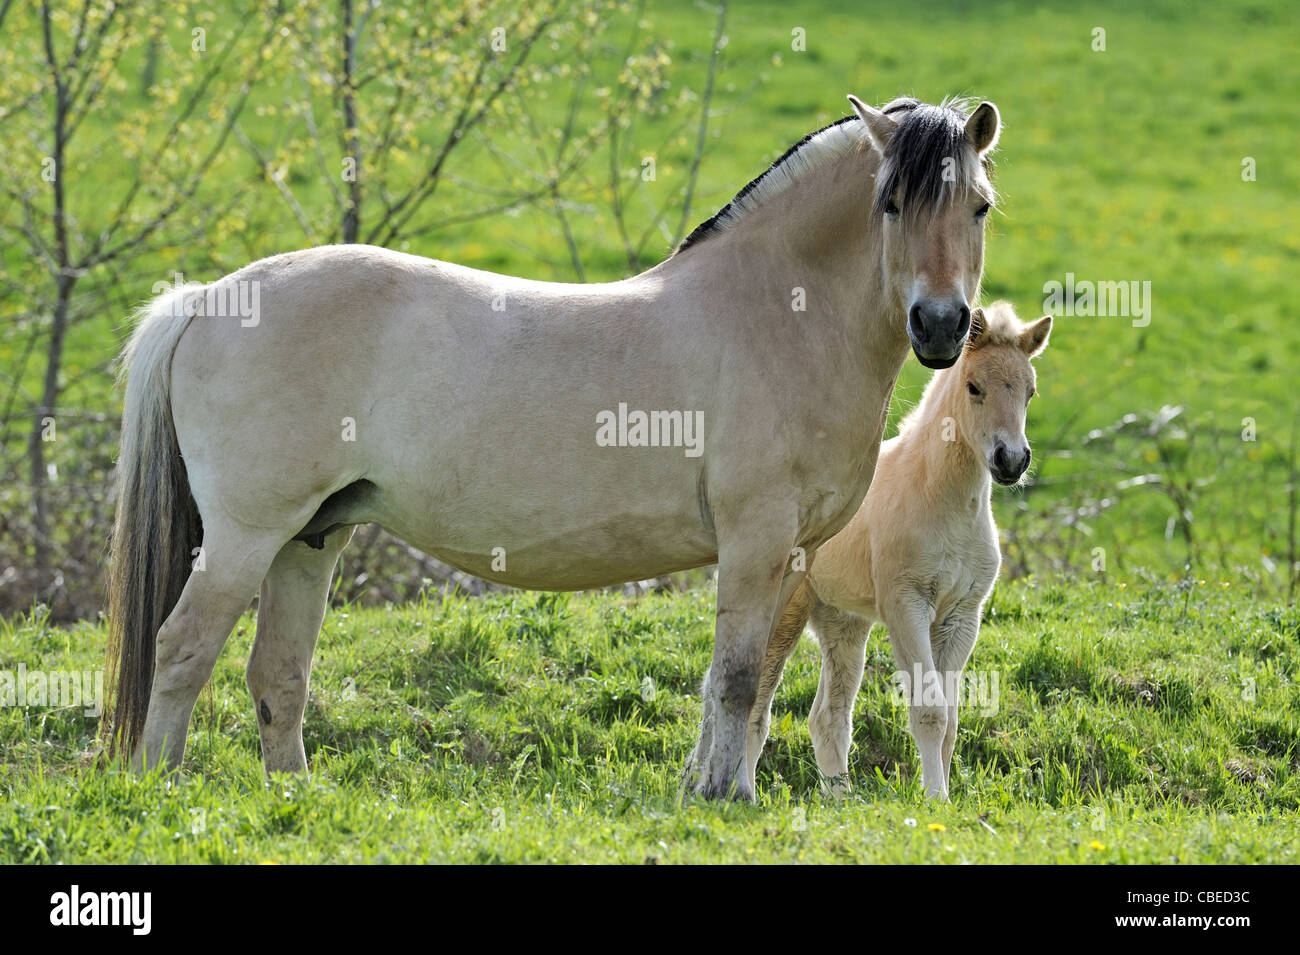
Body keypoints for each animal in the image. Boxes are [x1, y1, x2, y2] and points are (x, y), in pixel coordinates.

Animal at [104, 94, 1002, 802]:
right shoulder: (754, 541)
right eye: (891, 204)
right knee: (181, 651)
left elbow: (749, 686)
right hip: (246, 537)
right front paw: (720, 797)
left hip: (310, 539)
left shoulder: (793, 556)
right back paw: (160, 788)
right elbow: (739, 677)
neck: (777, 313)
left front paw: (727, 788)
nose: (940, 325)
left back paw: (293, 796)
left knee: (277, 675)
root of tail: (207, 299)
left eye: (980, 207)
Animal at [746, 302, 1052, 800]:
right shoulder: (906, 604)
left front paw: (943, 794)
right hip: (787, 608)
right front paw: (935, 797)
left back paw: (842, 800)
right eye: (974, 387)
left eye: (1030, 391)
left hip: (843, 622)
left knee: (828, 717)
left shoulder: (962, 616)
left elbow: (950, 719)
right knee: (755, 703)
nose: (1011, 460)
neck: (940, 498)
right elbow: (929, 710)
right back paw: (744, 792)